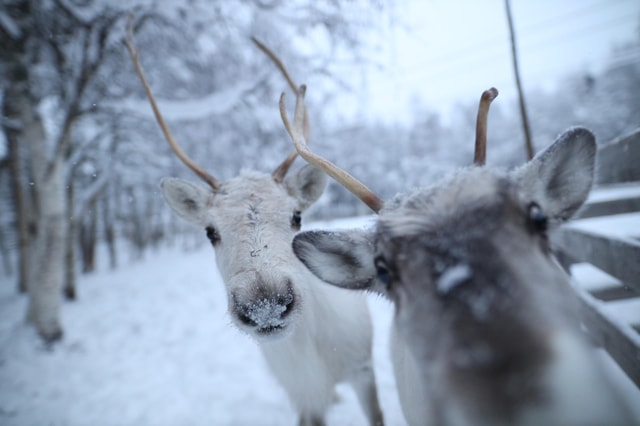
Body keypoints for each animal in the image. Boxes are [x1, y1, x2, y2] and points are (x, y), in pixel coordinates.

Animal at [125, 23, 384, 426]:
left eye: (296, 216)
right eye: (210, 231)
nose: (266, 304)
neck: (315, 357)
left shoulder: (364, 369)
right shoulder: (304, 398)